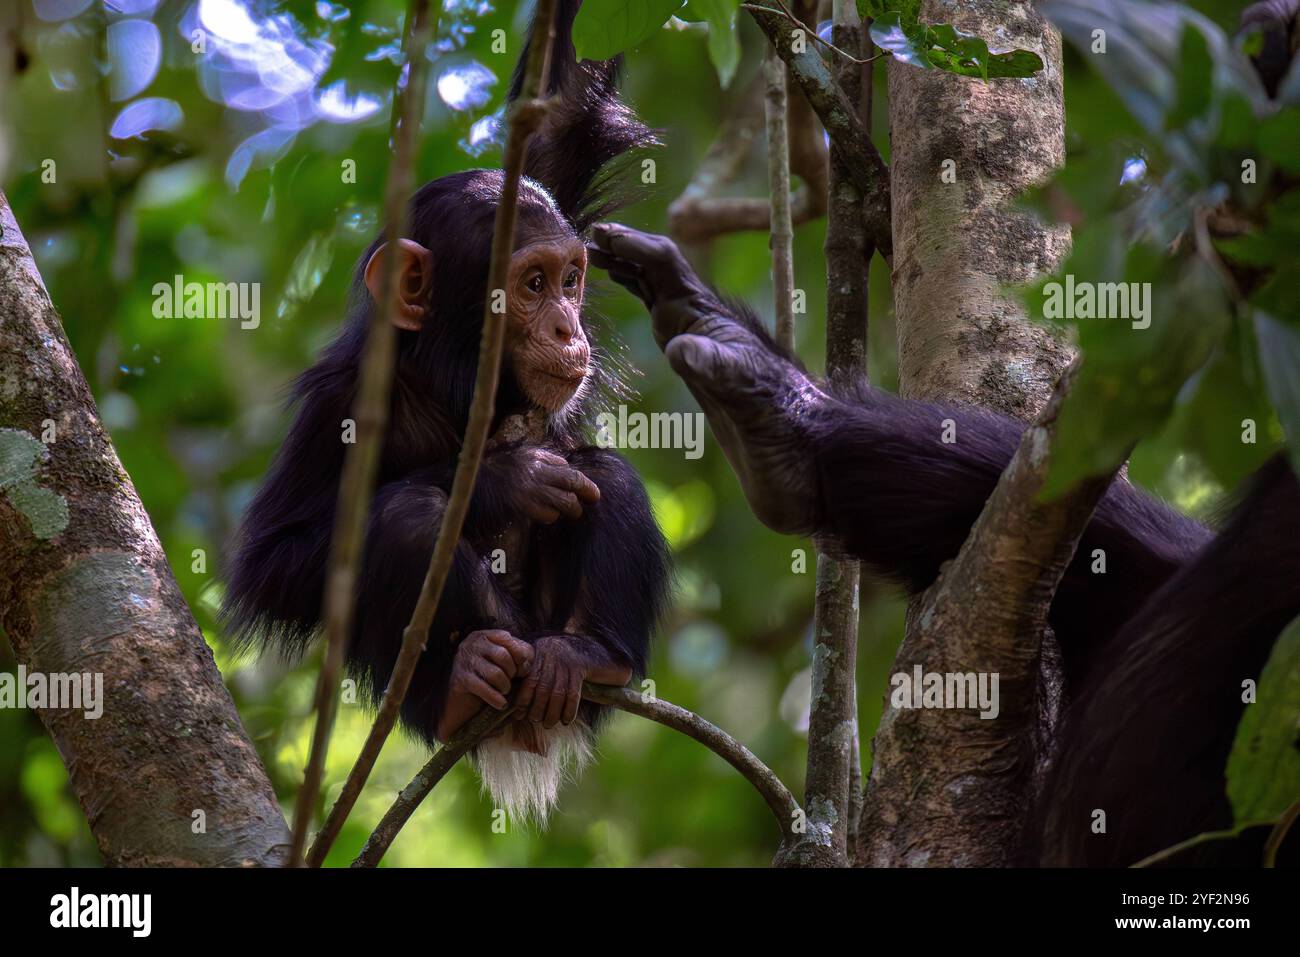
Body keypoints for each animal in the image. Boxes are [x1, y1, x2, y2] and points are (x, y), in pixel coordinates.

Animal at [221, 0, 669, 824]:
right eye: (530, 285)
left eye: (569, 277)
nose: (568, 327)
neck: (456, 383)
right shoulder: (338, 402)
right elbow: (276, 559)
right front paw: (506, 479)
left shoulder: (553, 178)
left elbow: (562, 103)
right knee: (409, 518)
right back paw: (465, 676)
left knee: (603, 475)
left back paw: (590, 652)